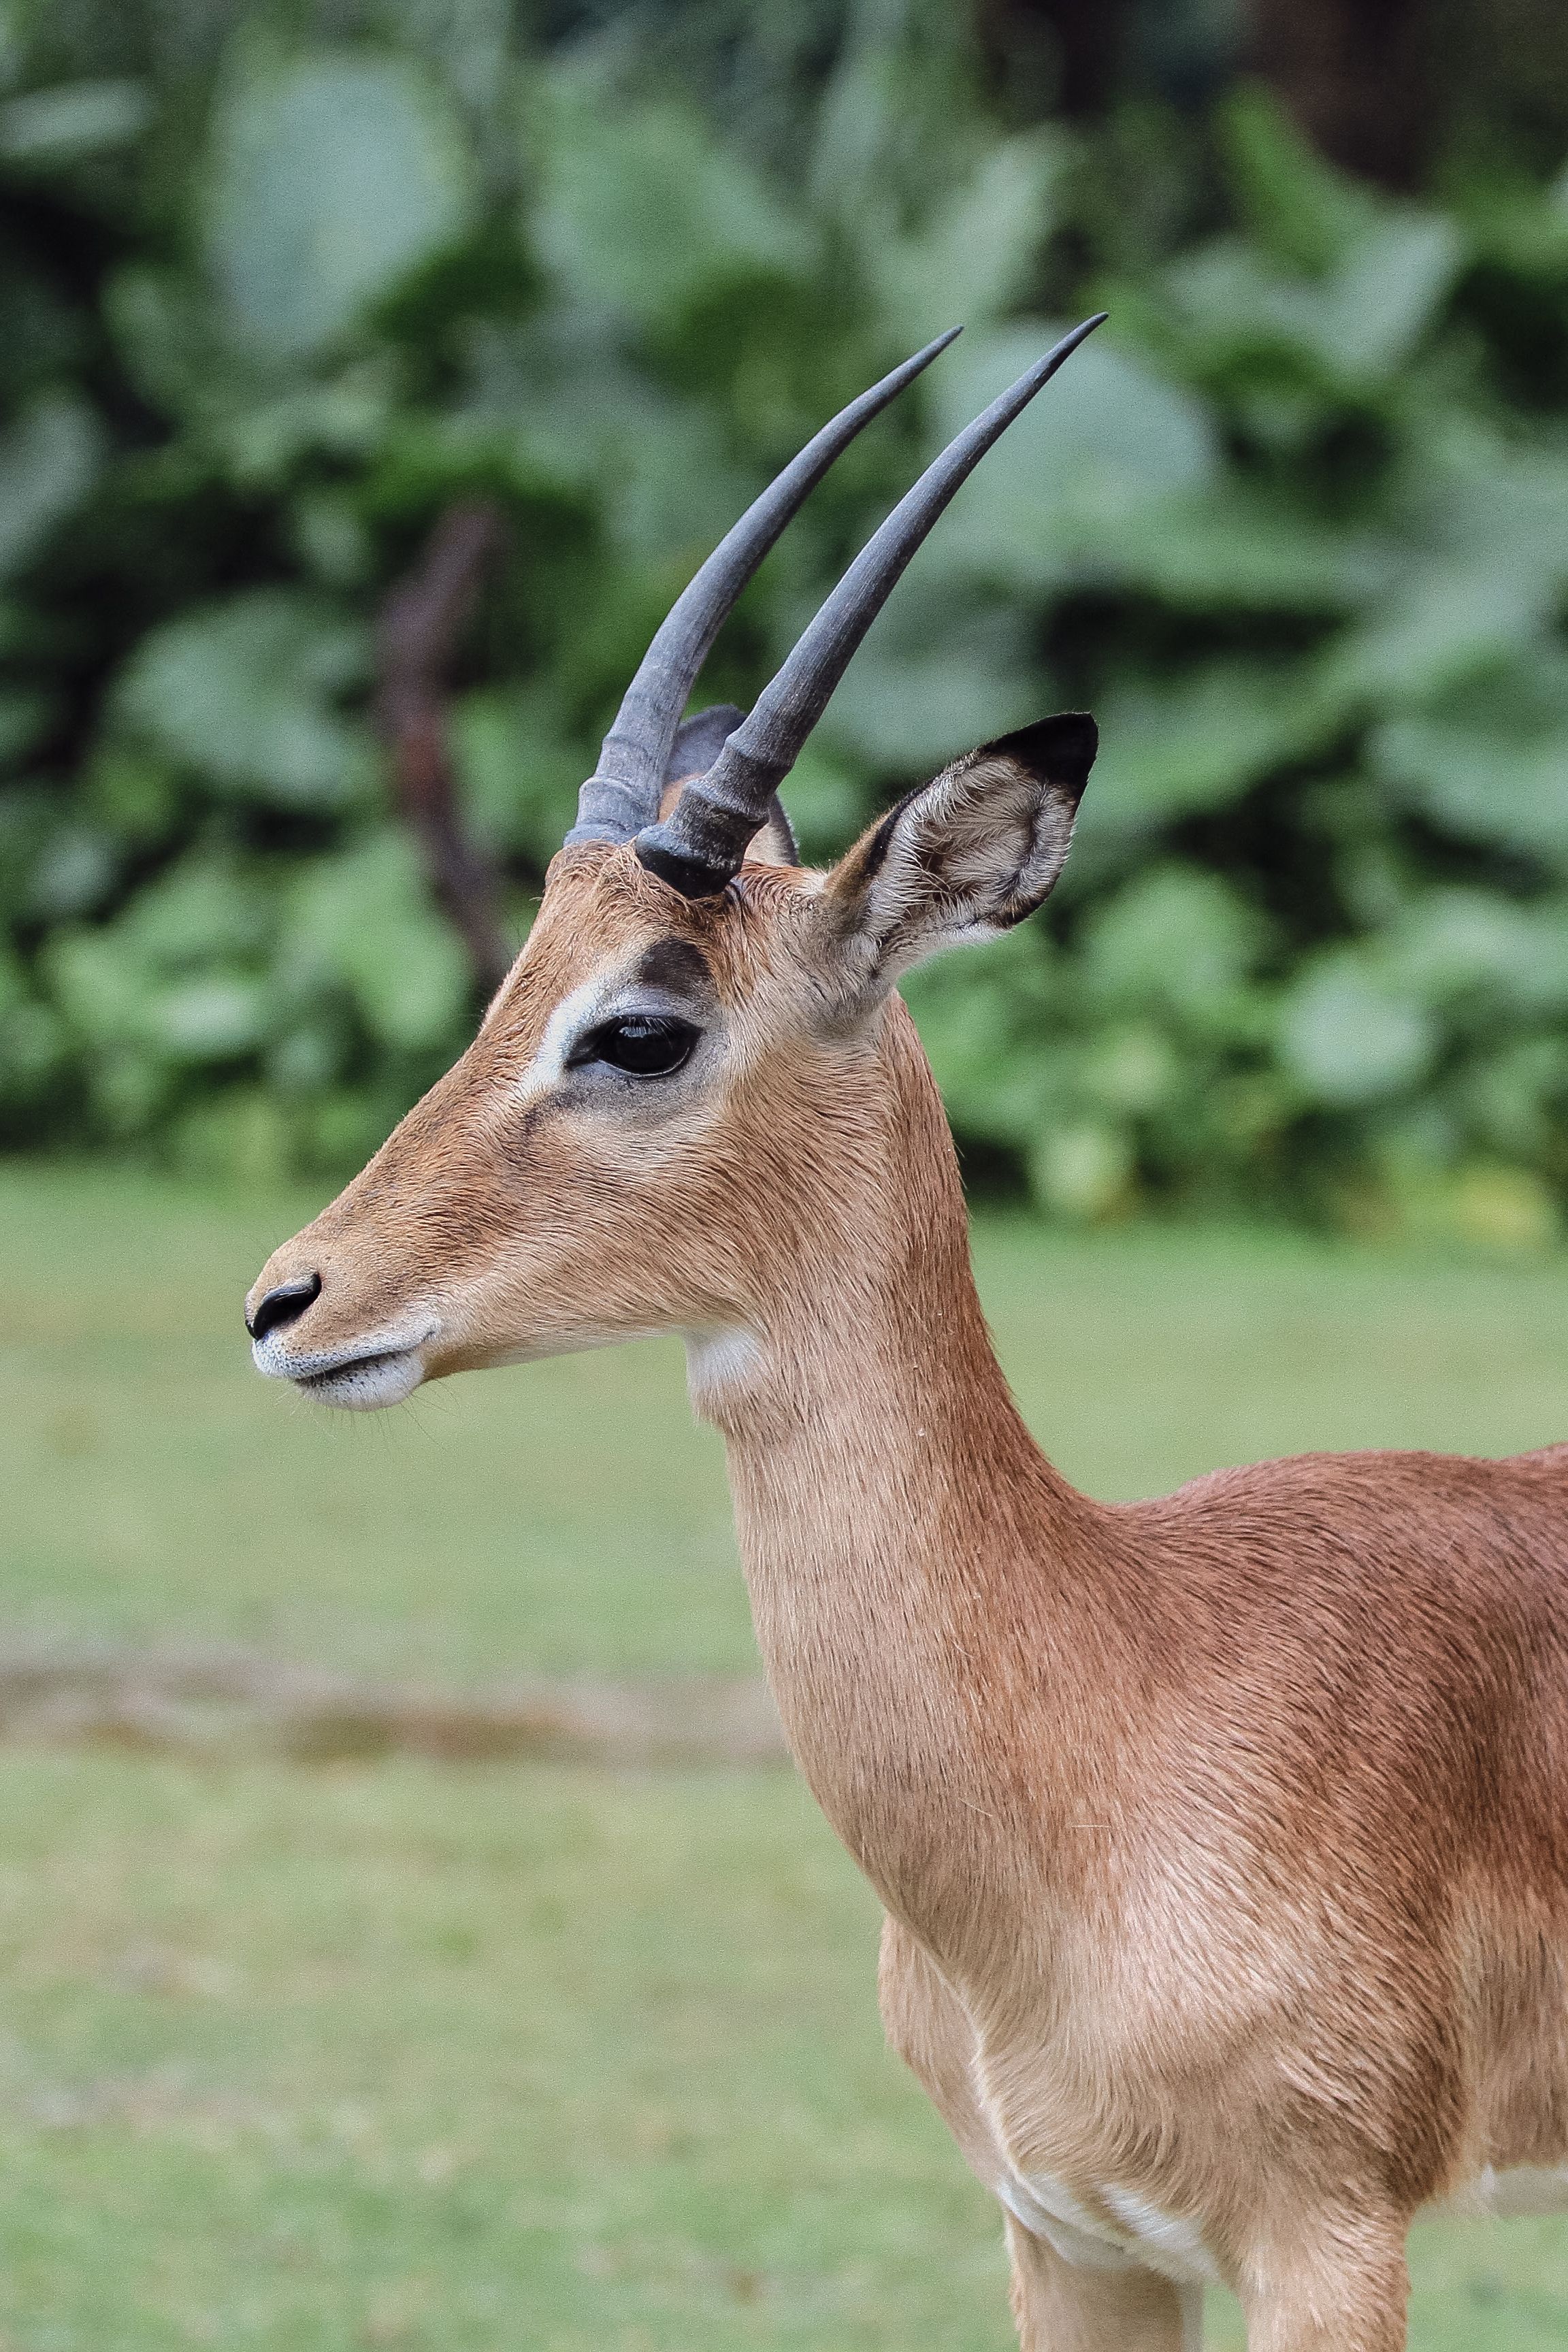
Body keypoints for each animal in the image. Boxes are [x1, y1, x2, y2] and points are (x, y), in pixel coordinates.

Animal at [247, 316, 1568, 2352]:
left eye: (643, 1025)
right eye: (512, 982)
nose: (289, 1301)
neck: (1120, 1705)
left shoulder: (1326, 2239)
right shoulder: (1072, 2235)